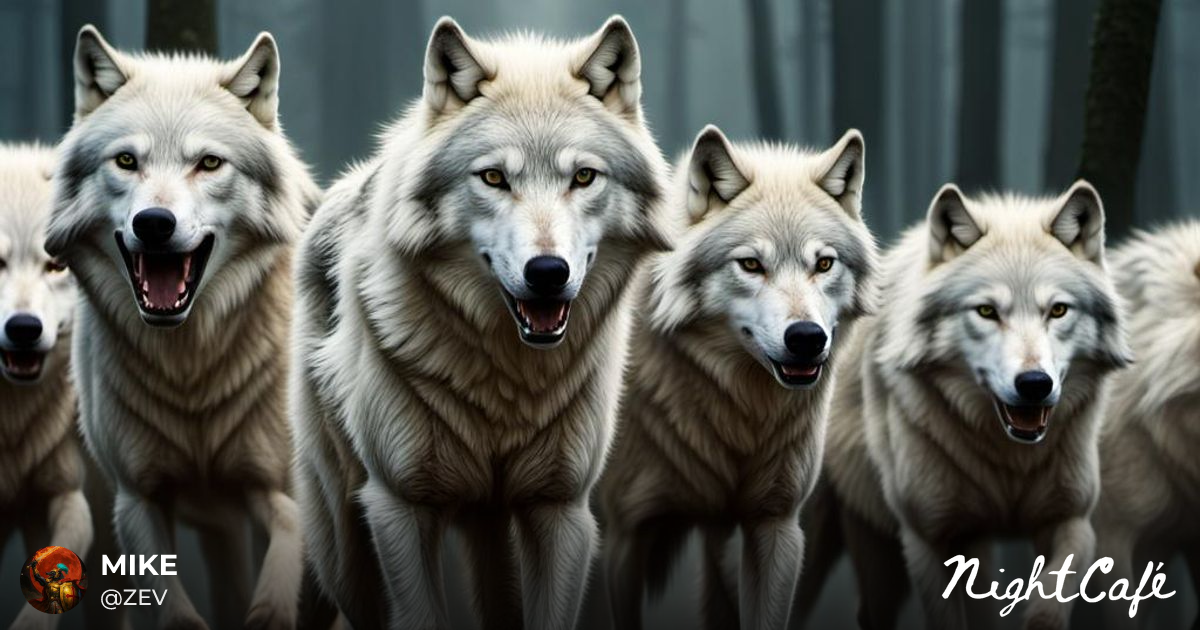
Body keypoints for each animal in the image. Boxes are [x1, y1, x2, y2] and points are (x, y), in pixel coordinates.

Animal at [45, 26, 319, 630]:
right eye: (126, 161)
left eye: (210, 163)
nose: (154, 223)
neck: (190, 366)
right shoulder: (139, 499)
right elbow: (176, 613)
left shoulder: (279, 486)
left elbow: (285, 563)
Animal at [290, 15, 671, 630]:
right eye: (493, 177)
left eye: (583, 177)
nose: (548, 272)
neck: (508, 383)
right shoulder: (399, 507)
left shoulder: (561, 509)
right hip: (344, 546)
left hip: (489, 525)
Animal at [597, 125, 875, 630]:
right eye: (751, 264)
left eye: (824, 264)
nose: (806, 337)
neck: (739, 414)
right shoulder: (624, 535)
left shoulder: (776, 525)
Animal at [809, 182, 1131, 630]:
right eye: (986, 311)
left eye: (1058, 310)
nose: (1035, 384)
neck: (1009, 464)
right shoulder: (929, 537)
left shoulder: (1072, 520)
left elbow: (1049, 601)